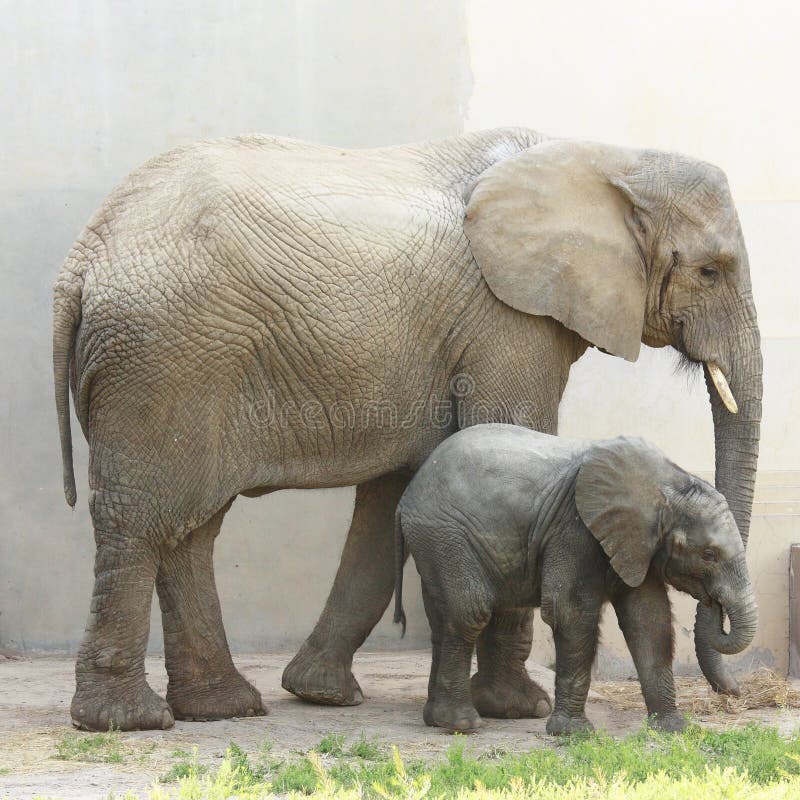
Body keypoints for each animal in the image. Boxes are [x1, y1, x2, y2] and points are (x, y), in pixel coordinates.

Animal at [393, 425, 757, 734]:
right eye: (709, 555)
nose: (736, 693)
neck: (668, 484)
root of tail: (406, 497)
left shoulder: (639, 546)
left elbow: (648, 619)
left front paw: (674, 729)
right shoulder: (573, 528)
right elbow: (570, 611)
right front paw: (572, 733)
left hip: (433, 543)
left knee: (442, 619)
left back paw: (436, 719)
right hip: (445, 535)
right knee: (470, 612)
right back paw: (462, 724)